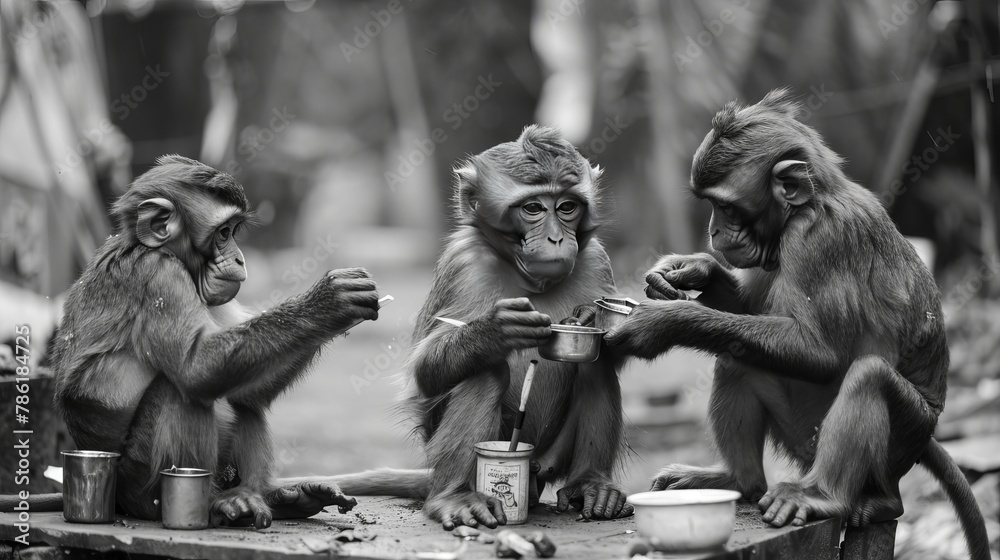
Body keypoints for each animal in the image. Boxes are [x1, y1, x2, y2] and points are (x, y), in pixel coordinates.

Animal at [42, 155, 381, 529]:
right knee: (180, 390)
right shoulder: (158, 275)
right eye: (223, 233)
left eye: (234, 231)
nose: (240, 259)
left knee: (244, 402)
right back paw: (214, 505)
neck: (147, 246)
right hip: (138, 488)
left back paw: (273, 498)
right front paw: (327, 302)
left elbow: (246, 387)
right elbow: (197, 369)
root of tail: (120, 502)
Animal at [324, 125, 632, 530]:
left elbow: (609, 345)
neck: (530, 280)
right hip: (448, 448)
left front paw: (591, 318)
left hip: (550, 459)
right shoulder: (463, 262)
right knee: (486, 370)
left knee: (595, 366)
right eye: (533, 208)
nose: (556, 238)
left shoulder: (596, 257)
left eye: (567, 207)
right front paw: (495, 330)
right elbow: (424, 372)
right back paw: (453, 497)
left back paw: (590, 484)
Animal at [604, 89, 990, 560]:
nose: (714, 232)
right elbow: (748, 311)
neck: (813, 201)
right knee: (737, 358)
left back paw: (835, 497)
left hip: (892, 436)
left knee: (870, 377)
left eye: (725, 206)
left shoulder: (816, 237)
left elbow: (817, 353)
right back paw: (738, 481)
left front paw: (665, 323)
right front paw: (690, 270)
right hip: (798, 433)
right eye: (711, 206)